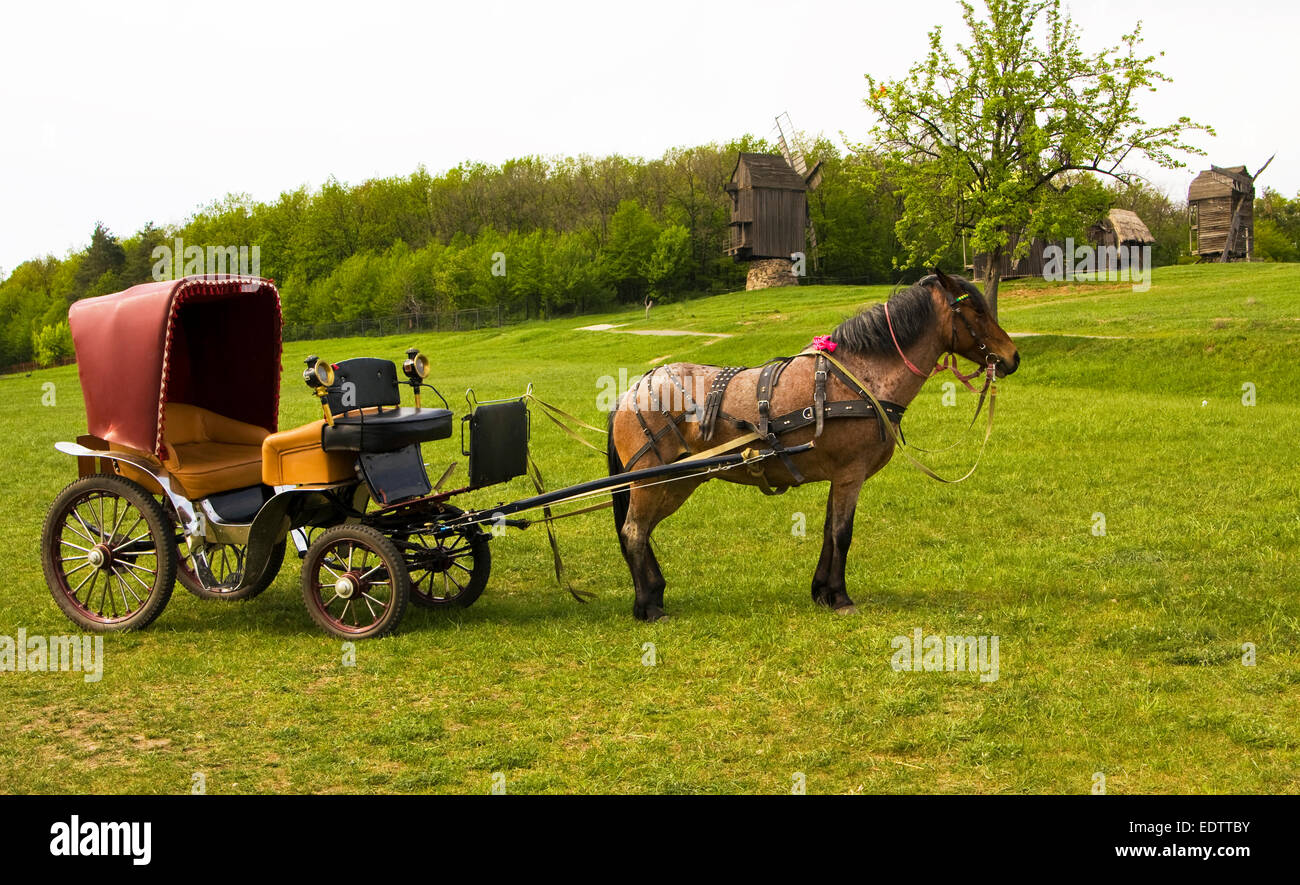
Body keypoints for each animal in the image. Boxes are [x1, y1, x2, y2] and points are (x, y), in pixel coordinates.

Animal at [605, 269, 1020, 621]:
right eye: (976, 310)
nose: (1012, 357)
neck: (859, 379)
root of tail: (631, 391)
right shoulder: (851, 474)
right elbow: (842, 534)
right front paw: (840, 597)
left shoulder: (840, 477)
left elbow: (827, 531)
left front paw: (822, 591)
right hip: (650, 482)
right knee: (634, 532)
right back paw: (648, 606)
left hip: (675, 483)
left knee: (640, 532)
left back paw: (654, 594)